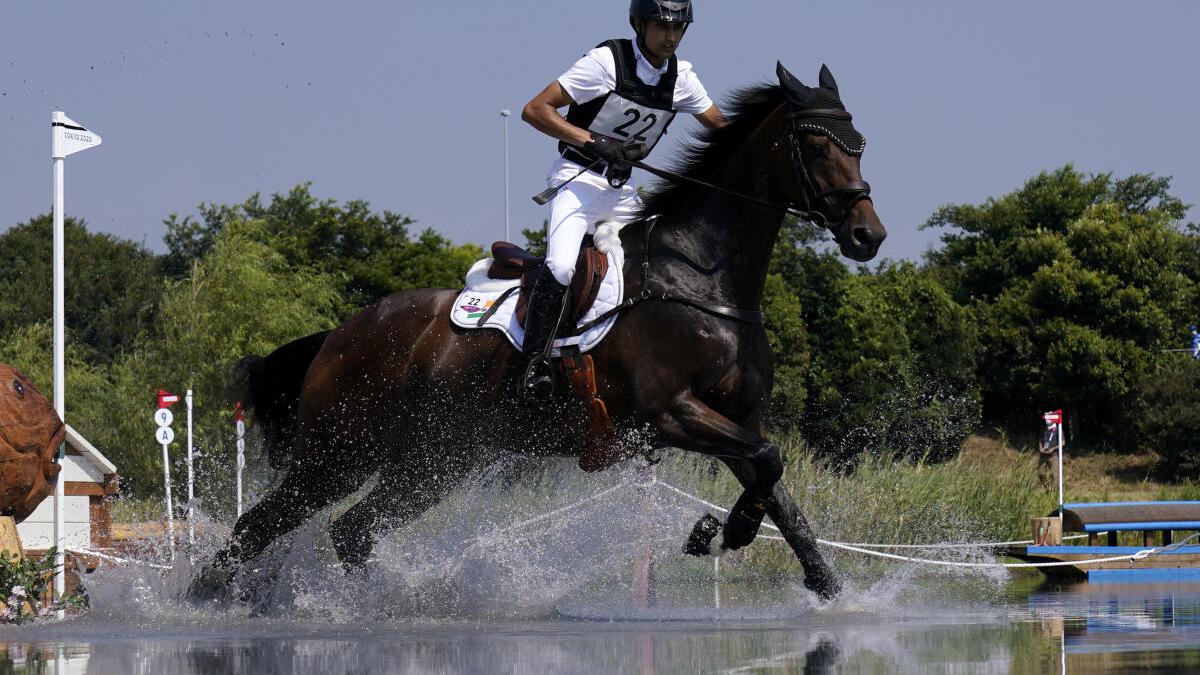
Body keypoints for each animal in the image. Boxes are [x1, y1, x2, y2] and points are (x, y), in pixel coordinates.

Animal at [196, 63, 888, 598]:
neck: (702, 276)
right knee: (261, 527)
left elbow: (781, 497)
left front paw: (825, 589)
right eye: (819, 147)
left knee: (350, 530)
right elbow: (769, 464)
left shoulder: (736, 418)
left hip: (432, 462)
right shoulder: (670, 413)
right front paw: (715, 533)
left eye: (859, 143)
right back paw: (210, 597)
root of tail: (340, 333)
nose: (868, 236)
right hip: (338, 454)